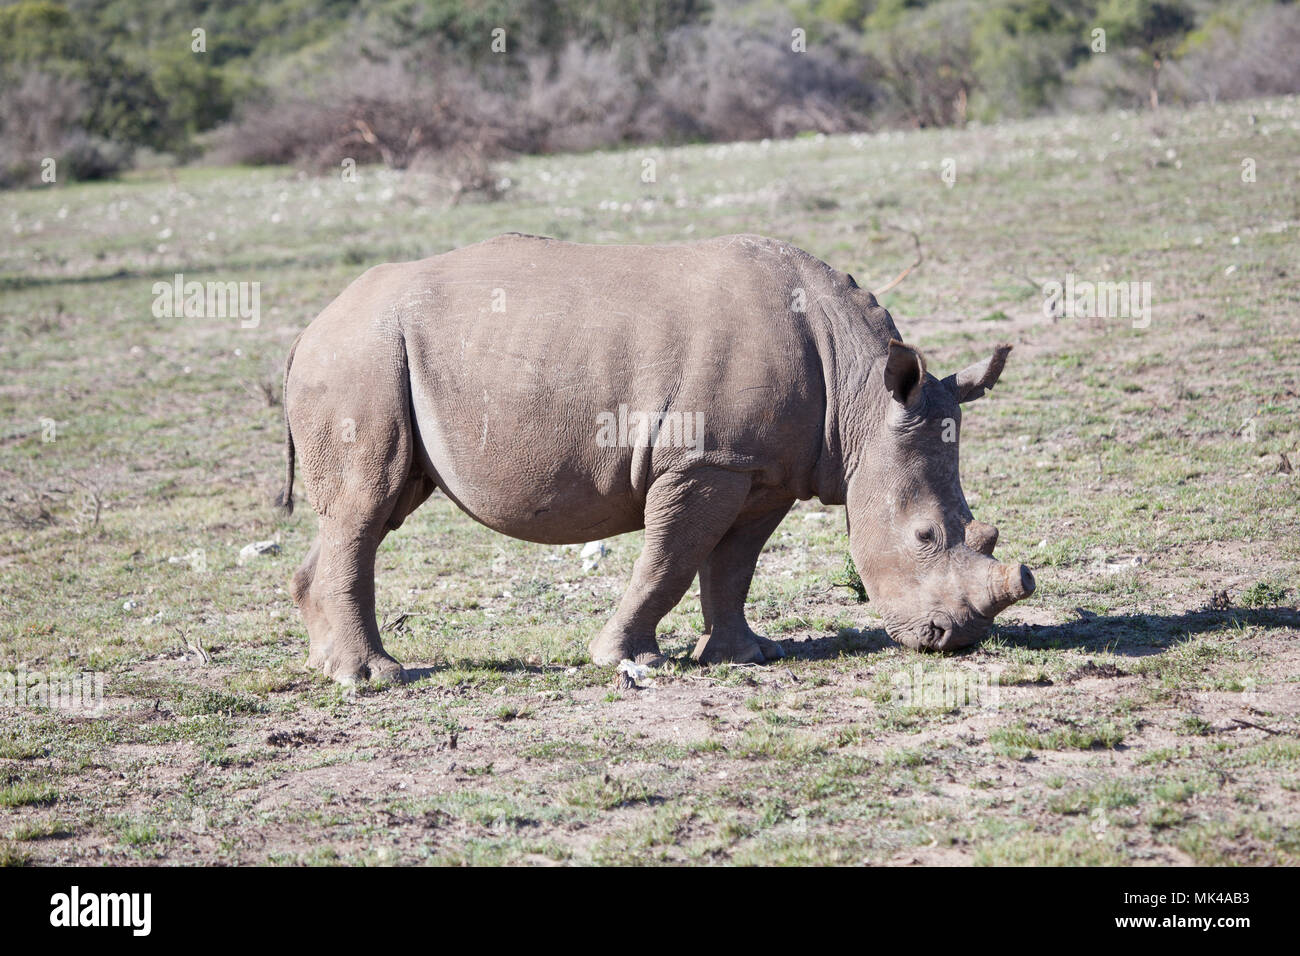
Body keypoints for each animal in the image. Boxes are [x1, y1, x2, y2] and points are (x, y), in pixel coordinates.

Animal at [275, 233, 1034, 682]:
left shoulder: (760, 467)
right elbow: (671, 559)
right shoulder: (705, 460)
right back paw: (374, 677)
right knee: (366, 508)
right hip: (361, 357)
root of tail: (311, 326)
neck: (861, 401)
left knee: (375, 509)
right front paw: (626, 660)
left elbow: (733, 565)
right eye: (925, 536)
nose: (954, 640)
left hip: (370, 356)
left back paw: (327, 666)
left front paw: (747, 655)